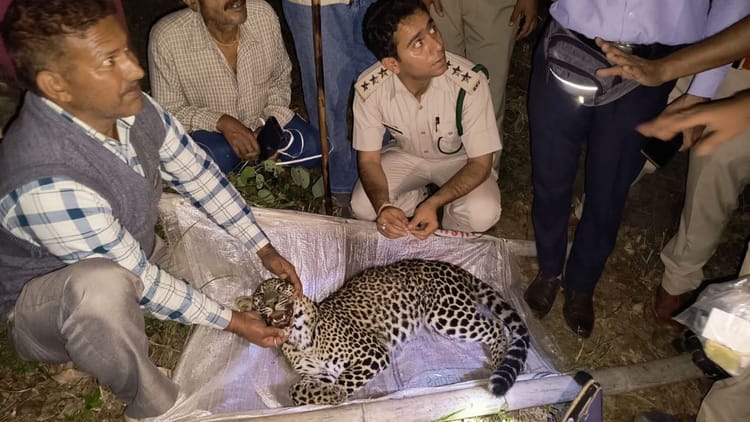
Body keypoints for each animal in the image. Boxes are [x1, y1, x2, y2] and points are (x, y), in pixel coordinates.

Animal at [235, 259, 530, 406]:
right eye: (260, 297)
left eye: (281, 289)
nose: (272, 303)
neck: (298, 339)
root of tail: (449, 266)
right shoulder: (318, 374)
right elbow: (296, 390)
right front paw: (323, 395)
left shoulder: (372, 353)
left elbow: (344, 380)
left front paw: (337, 395)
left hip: (446, 314)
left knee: (495, 326)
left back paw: (500, 361)